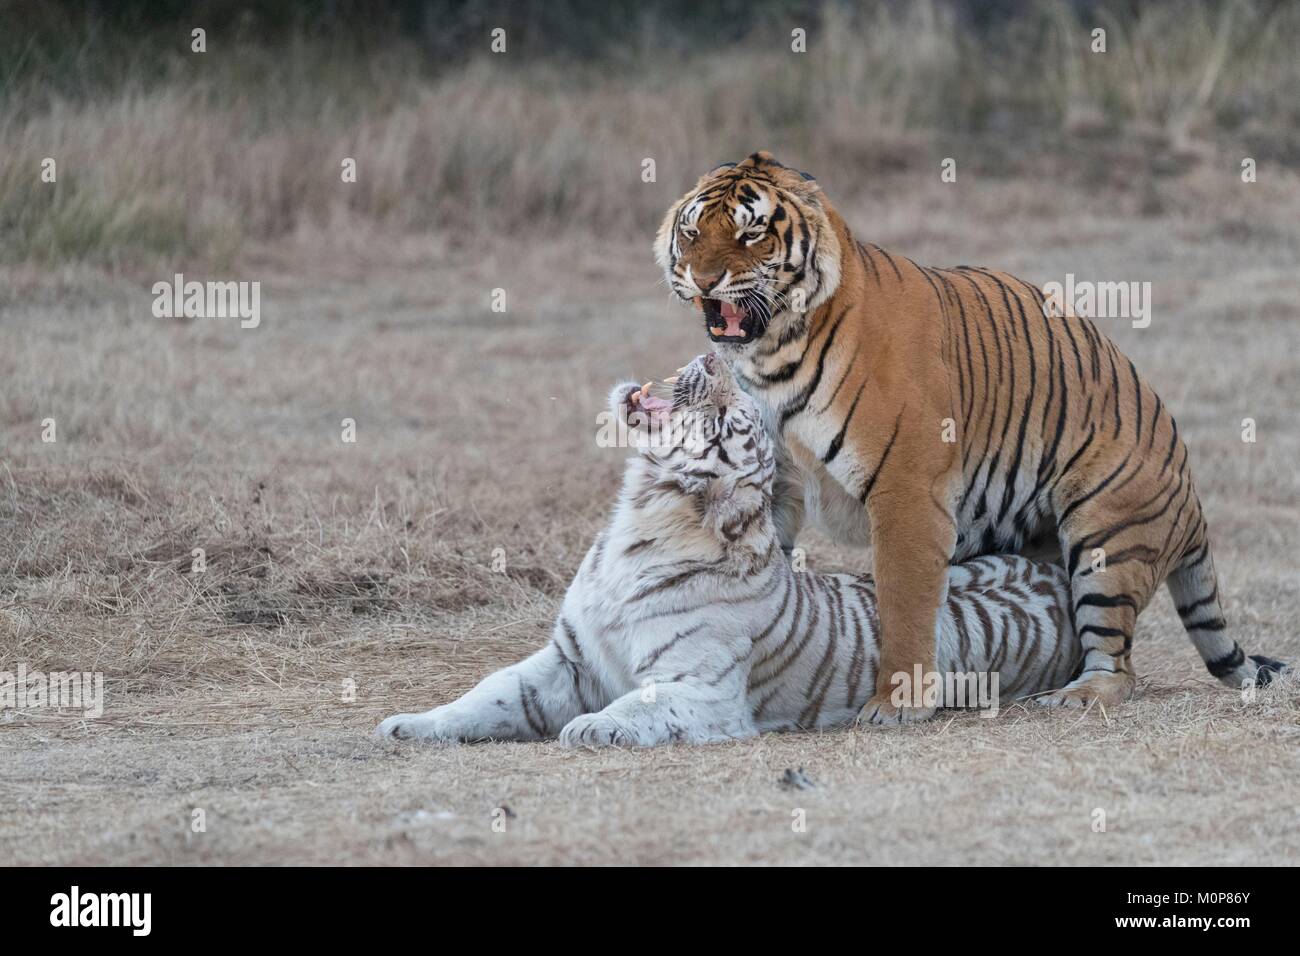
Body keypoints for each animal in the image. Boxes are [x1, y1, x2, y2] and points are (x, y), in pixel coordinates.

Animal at [376, 353, 1084, 747]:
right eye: (737, 406)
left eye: (726, 421)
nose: (716, 362)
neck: (637, 521)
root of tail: (1054, 578)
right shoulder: (566, 660)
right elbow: (488, 694)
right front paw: (408, 724)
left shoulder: (704, 690)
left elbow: (639, 702)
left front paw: (591, 726)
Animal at [654, 150, 1287, 724]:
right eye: (692, 231)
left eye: (752, 232)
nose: (703, 279)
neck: (771, 354)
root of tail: (1192, 492)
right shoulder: (777, 481)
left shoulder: (908, 493)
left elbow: (905, 604)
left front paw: (895, 706)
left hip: (1106, 537)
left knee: (1119, 665)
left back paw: (1076, 696)